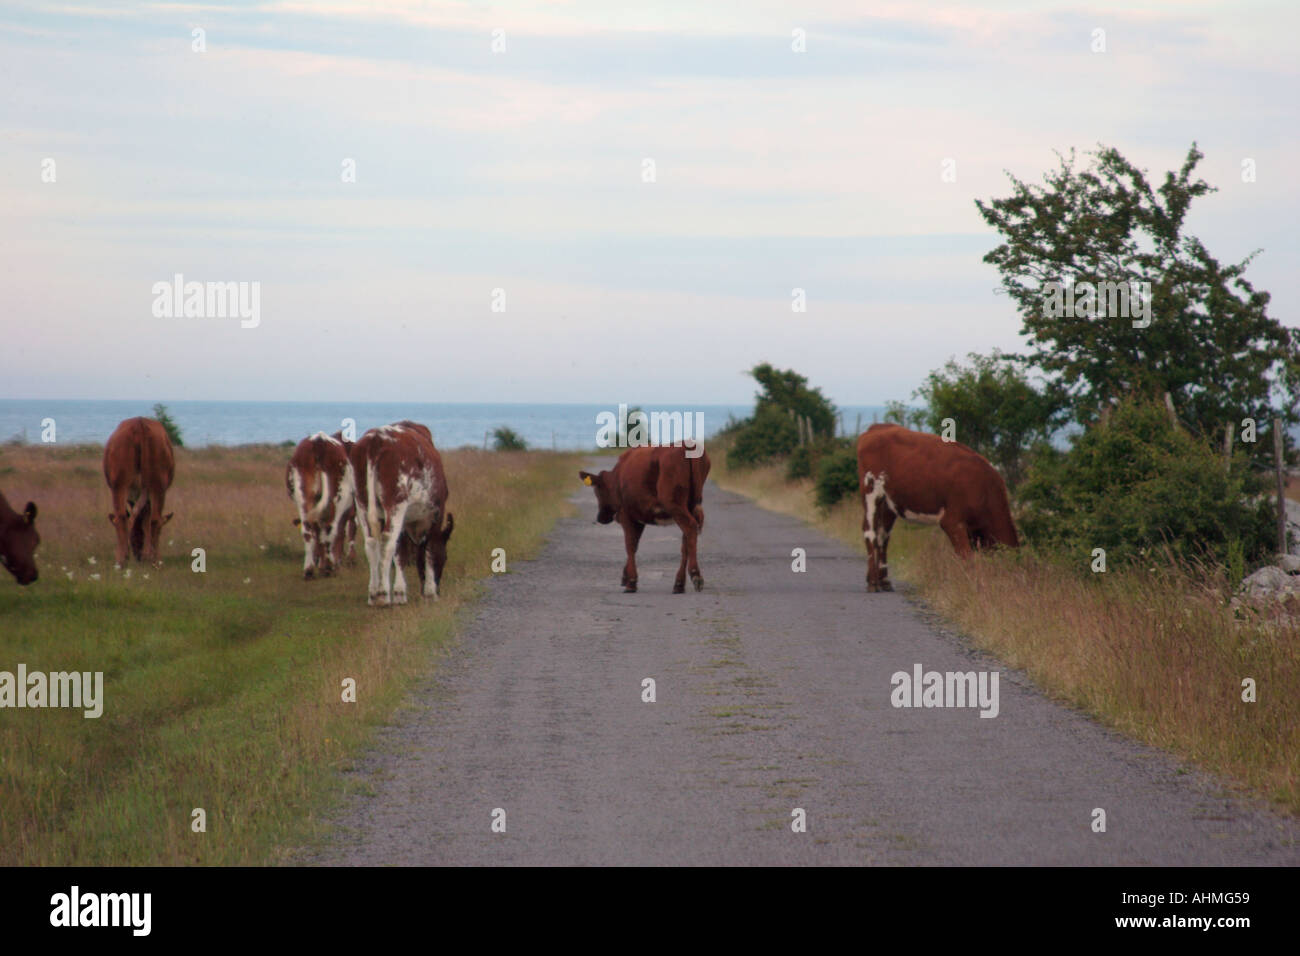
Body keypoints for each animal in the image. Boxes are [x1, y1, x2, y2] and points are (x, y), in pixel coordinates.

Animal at [103, 417, 175, 568]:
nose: (138, 555)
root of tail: (139, 423)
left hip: (120, 486)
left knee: (122, 517)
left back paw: (124, 559)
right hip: (156, 486)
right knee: (153, 519)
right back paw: (152, 558)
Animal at [286, 431, 356, 579]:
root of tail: (319, 441)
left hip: (304, 496)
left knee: (309, 529)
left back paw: (309, 570)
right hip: (337, 498)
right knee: (330, 528)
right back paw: (329, 567)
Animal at [350, 421, 453, 606]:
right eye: (446, 557)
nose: (439, 589)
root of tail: (376, 439)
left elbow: (401, 552)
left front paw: (400, 592)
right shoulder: (436, 512)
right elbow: (429, 550)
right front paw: (430, 592)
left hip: (361, 501)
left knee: (371, 543)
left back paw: (373, 593)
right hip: (396, 503)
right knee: (387, 541)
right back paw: (383, 594)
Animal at [578, 443, 710, 594]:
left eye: (597, 491)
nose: (600, 518)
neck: (617, 476)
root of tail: (686, 444)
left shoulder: (626, 515)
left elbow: (629, 546)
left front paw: (631, 582)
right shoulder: (639, 516)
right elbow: (635, 544)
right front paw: (626, 576)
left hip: (675, 505)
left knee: (690, 528)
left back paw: (695, 575)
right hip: (692, 506)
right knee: (686, 540)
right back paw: (679, 584)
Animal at [857, 423, 1018, 592]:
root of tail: (877, 427)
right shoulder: (952, 521)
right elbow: (966, 556)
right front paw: (969, 585)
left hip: (888, 503)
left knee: (883, 536)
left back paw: (884, 581)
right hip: (871, 491)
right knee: (870, 532)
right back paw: (873, 583)